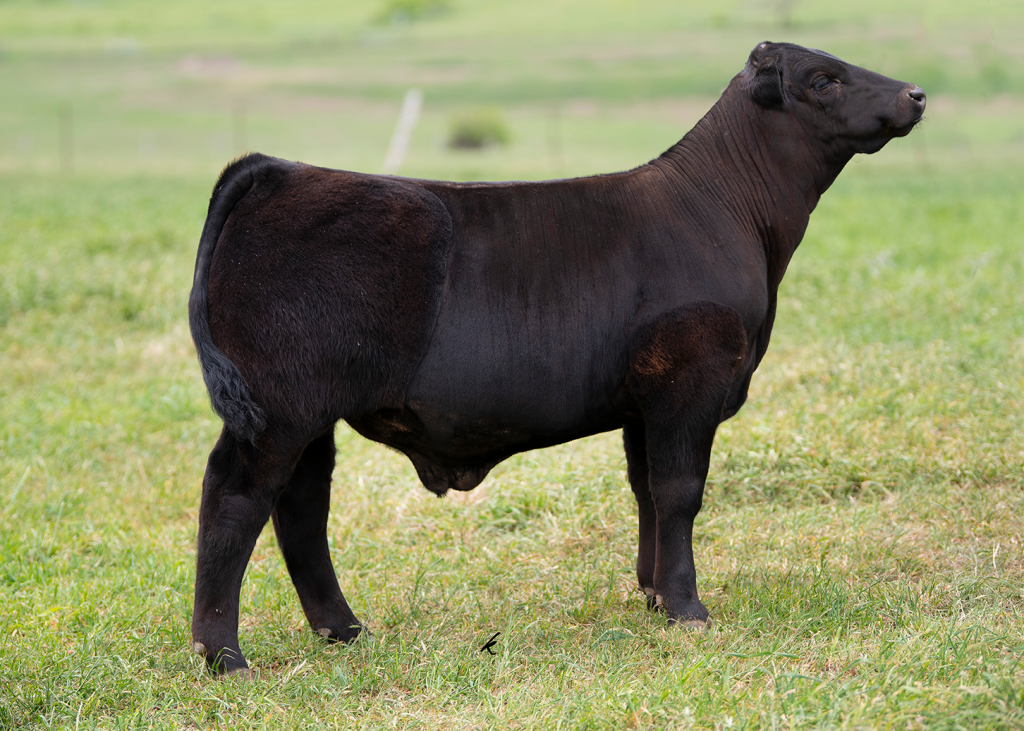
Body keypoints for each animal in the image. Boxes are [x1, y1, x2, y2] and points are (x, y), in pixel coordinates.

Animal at [188, 41, 925, 674]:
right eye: (824, 79)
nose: (915, 93)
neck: (727, 212)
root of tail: (280, 170)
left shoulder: (643, 402)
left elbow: (646, 489)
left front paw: (654, 594)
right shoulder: (690, 380)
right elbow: (680, 490)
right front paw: (688, 608)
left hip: (308, 416)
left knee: (301, 506)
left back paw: (341, 629)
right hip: (278, 410)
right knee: (237, 499)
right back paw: (223, 653)